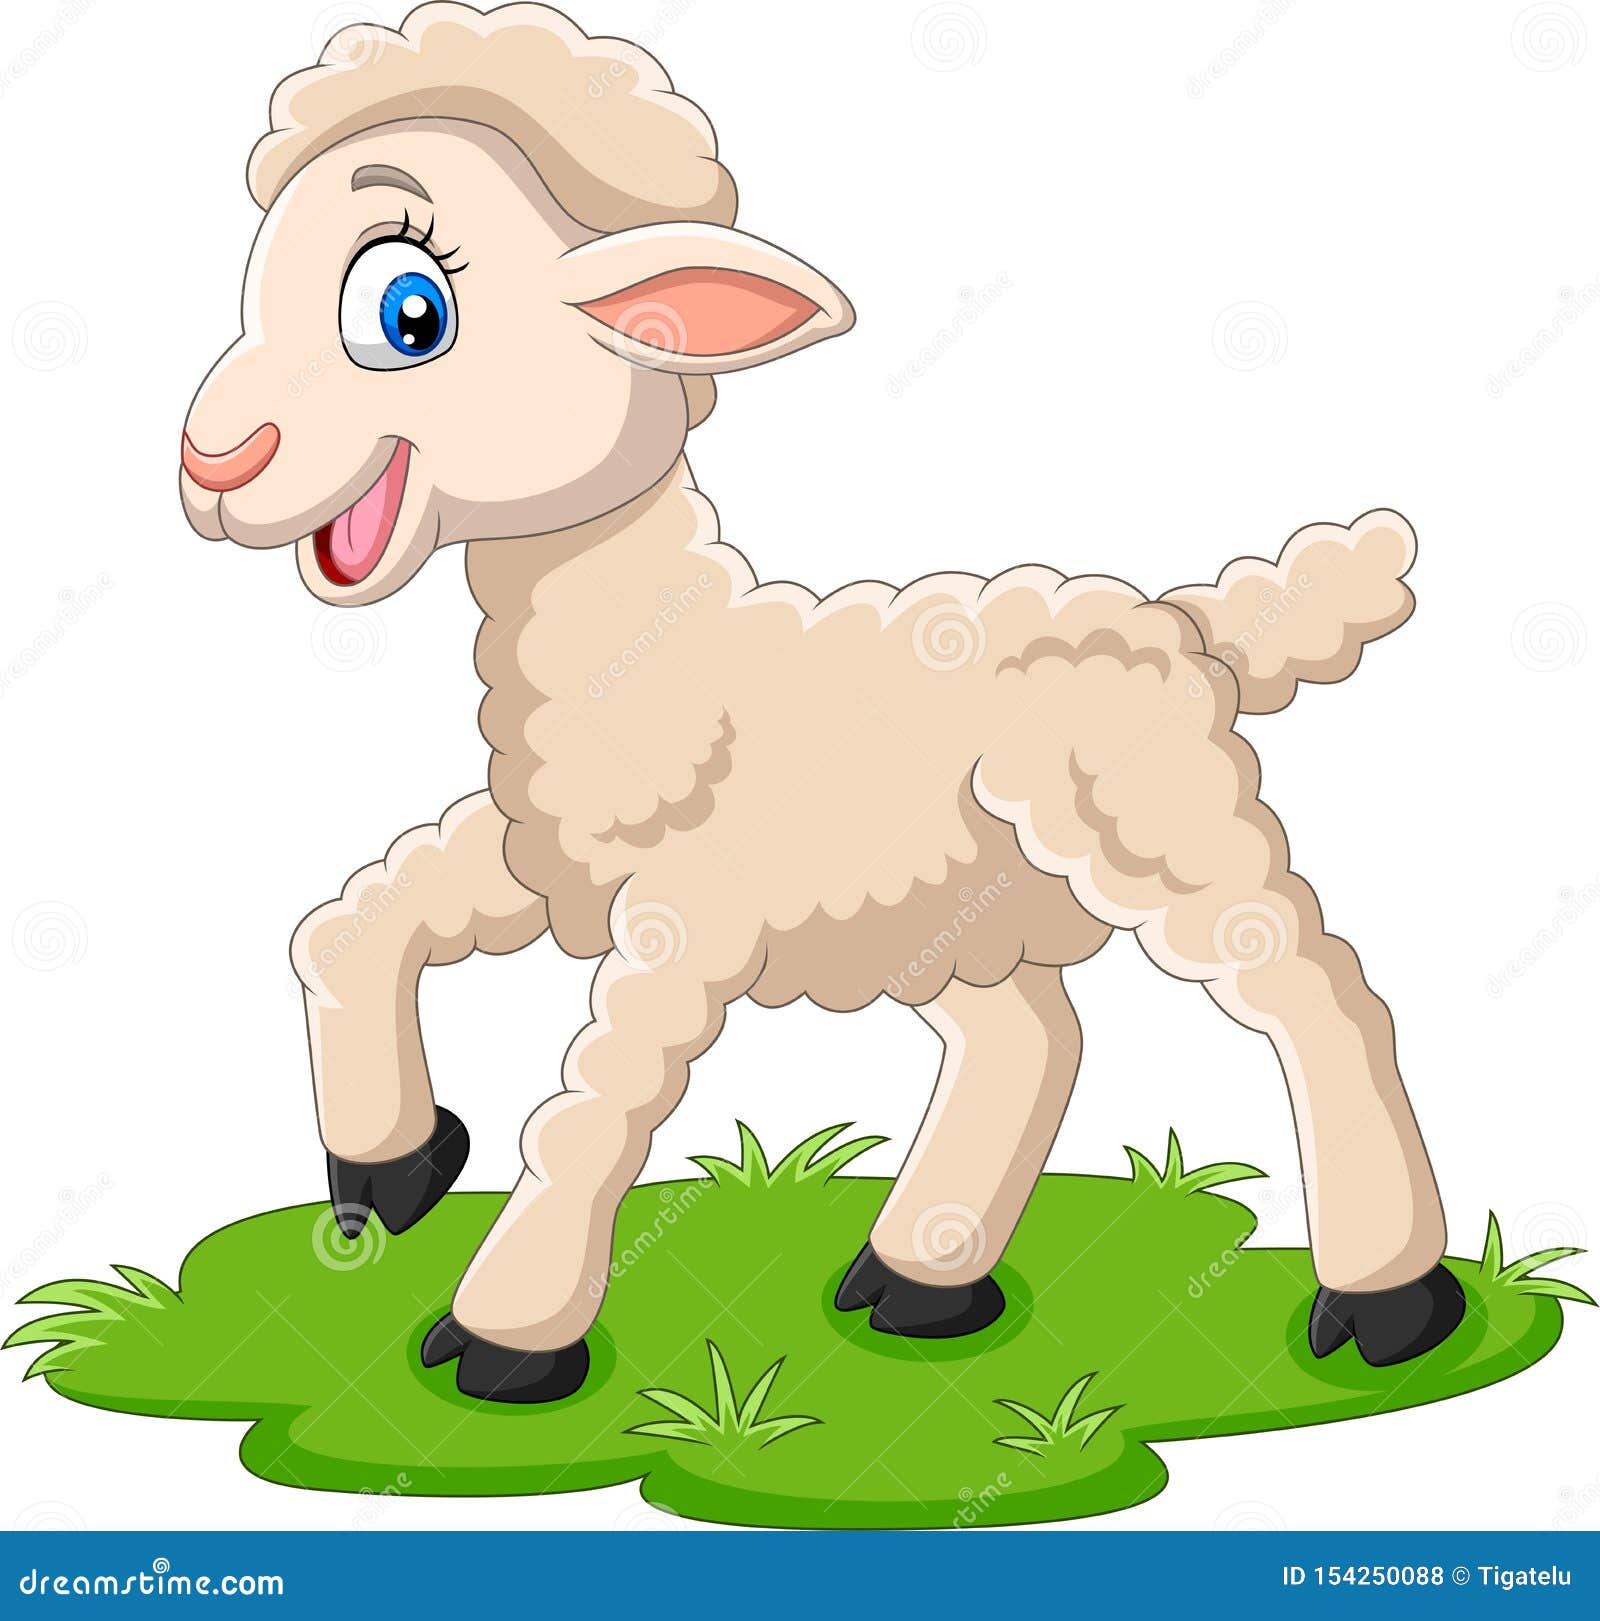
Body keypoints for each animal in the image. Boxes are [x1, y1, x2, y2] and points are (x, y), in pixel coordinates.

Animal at [178, 2, 1463, 1401]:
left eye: (408, 312)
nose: (212, 464)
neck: (651, 647)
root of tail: (1185, 621)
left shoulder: (679, 924)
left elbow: (590, 1108)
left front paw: (505, 1337)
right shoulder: (540, 859)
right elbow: (352, 923)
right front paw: (390, 1168)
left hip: (1157, 828)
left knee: (1319, 995)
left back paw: (1390, 1298)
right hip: (951, 906)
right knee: (1031, 1038)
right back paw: (920, 1281)